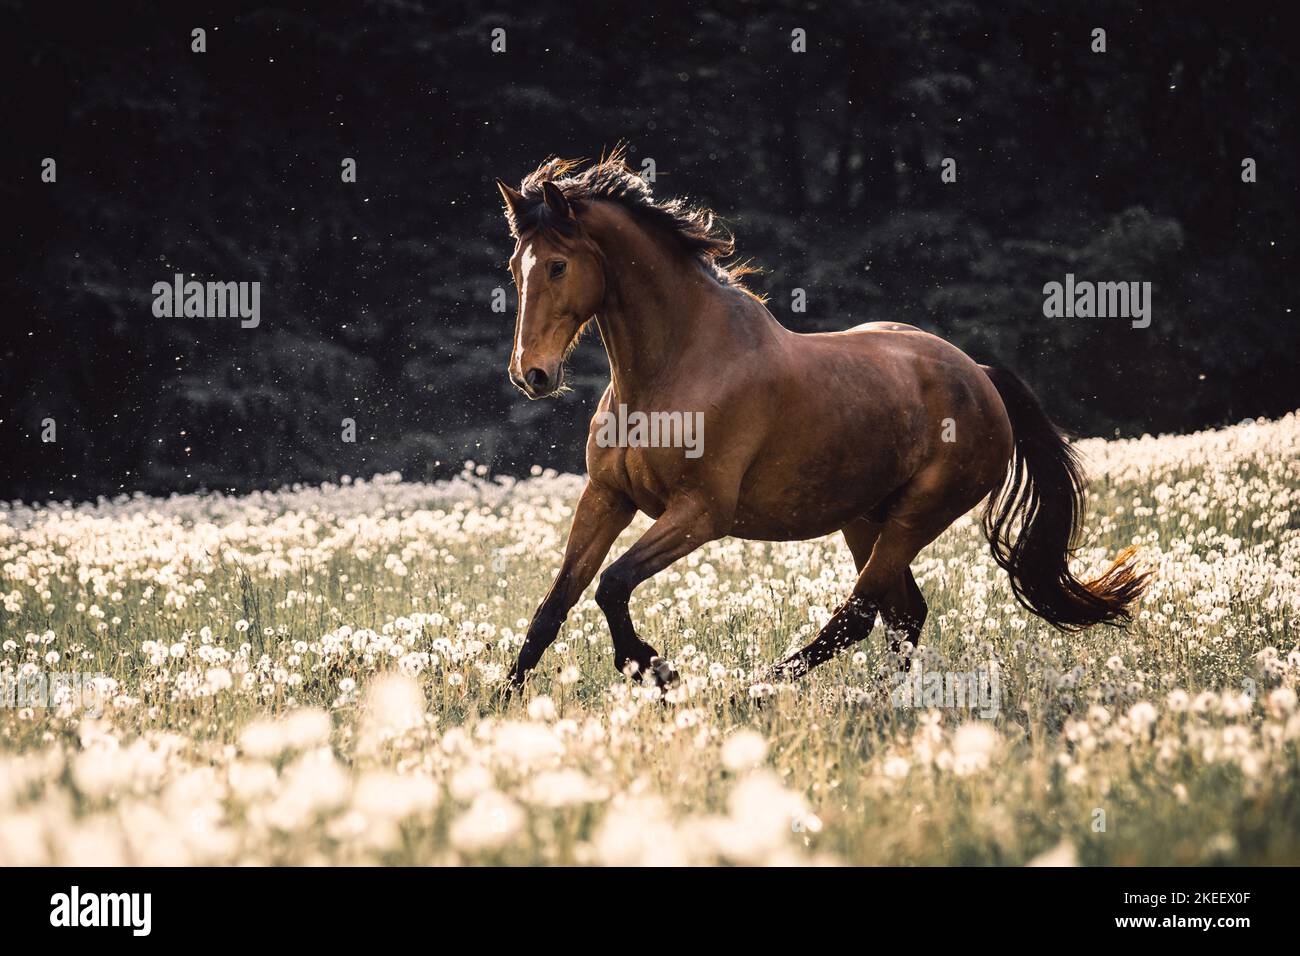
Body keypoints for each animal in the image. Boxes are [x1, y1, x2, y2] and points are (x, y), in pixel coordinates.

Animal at [494, 151, 1147, 691]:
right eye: (515, 267)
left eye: (557, 266)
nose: (531, 374)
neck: (674, 369)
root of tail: (980, 376)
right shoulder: (607, 496)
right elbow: (556, 603)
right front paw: (503, 701)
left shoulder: (700, 512)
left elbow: (612, 584)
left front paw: (654, 667)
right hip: (864, 517)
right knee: (901, 614)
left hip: (917, 515)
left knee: (859, 616)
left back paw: (756, 689)